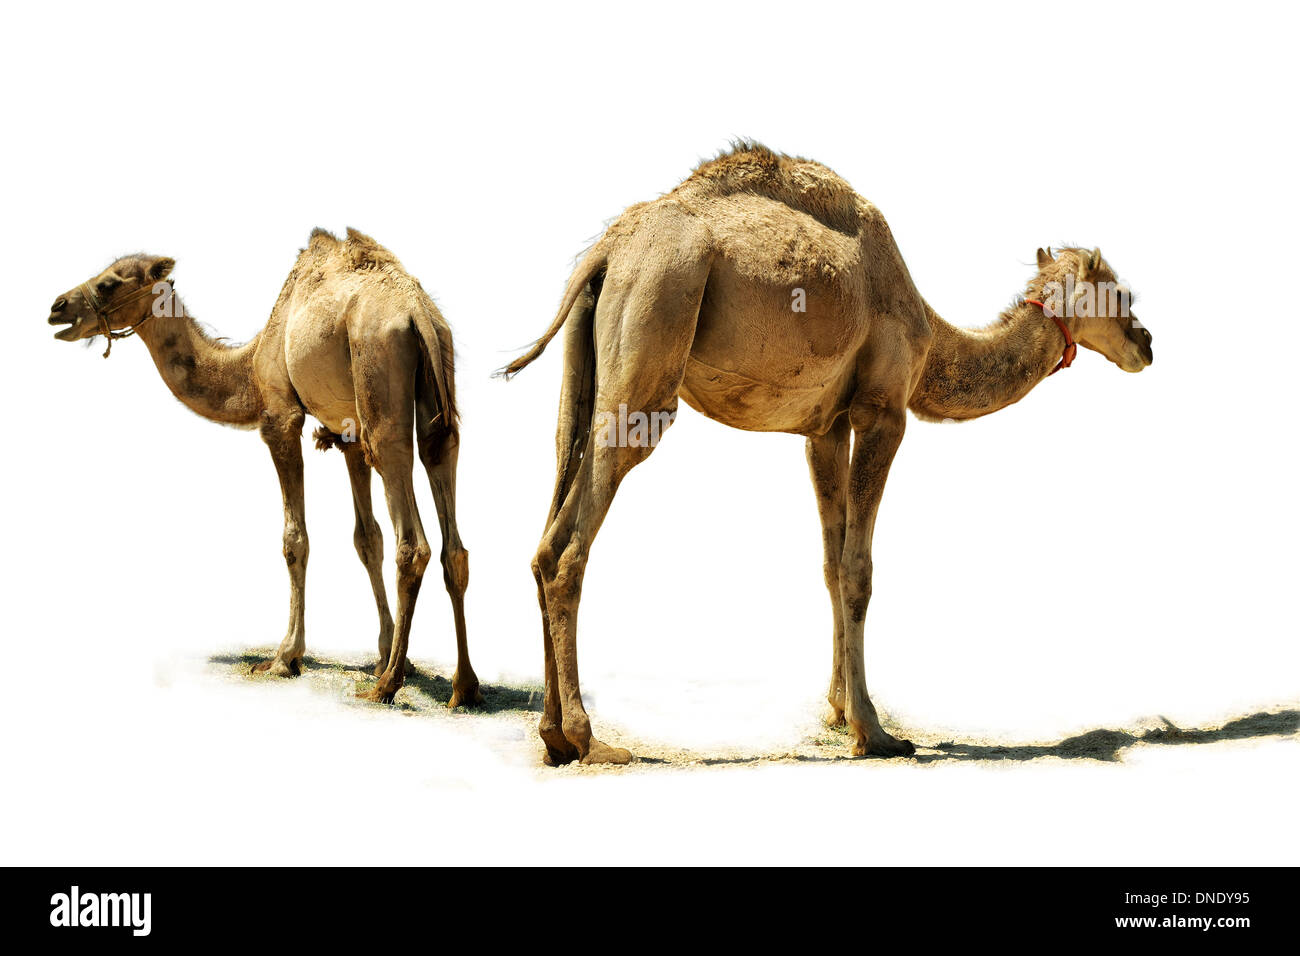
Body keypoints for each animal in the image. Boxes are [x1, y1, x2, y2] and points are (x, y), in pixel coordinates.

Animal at [46, 228, 482, 707]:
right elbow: (367, 539)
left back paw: (386, 687)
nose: (57, 307)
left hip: (381, 391)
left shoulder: (280, 417)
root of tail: (418, 312)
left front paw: (285, 656)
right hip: (436, 397)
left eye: (109, 282)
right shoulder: (346, 432)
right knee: (451, 531)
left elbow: (295, 540)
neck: (250, 364)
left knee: (413, 542)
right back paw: (463, 686)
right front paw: (385, 651)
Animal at [507, 143, 1153, 765]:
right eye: (1123, 294)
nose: (1147, 342)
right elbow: (858, 569)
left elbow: (829, 561)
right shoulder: (881, 412)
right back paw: (589, 740)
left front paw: (839, 710)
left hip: (586, 372)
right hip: (654, 327)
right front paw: (874, 730)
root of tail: (608, 250)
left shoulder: (825, 428)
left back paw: (552, 736)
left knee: (546, 534)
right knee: (569, 549)